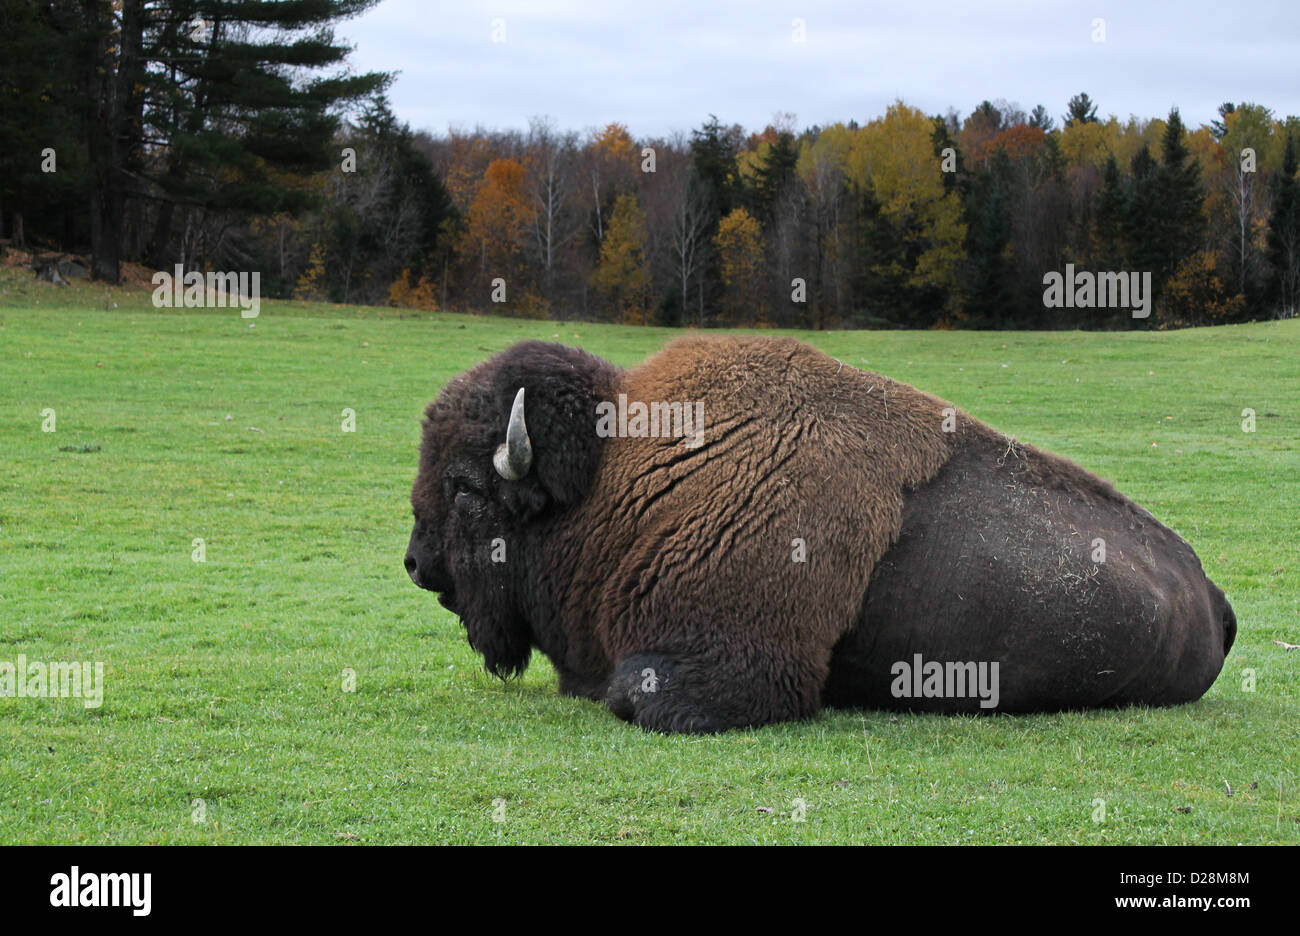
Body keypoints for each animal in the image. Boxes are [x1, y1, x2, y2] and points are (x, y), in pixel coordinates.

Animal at [406, 336, 1236, 733]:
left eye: (463, 486)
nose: (418, 565)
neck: (614, 479)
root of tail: (1210, 592)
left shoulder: (732, 663)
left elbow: (636, 695)